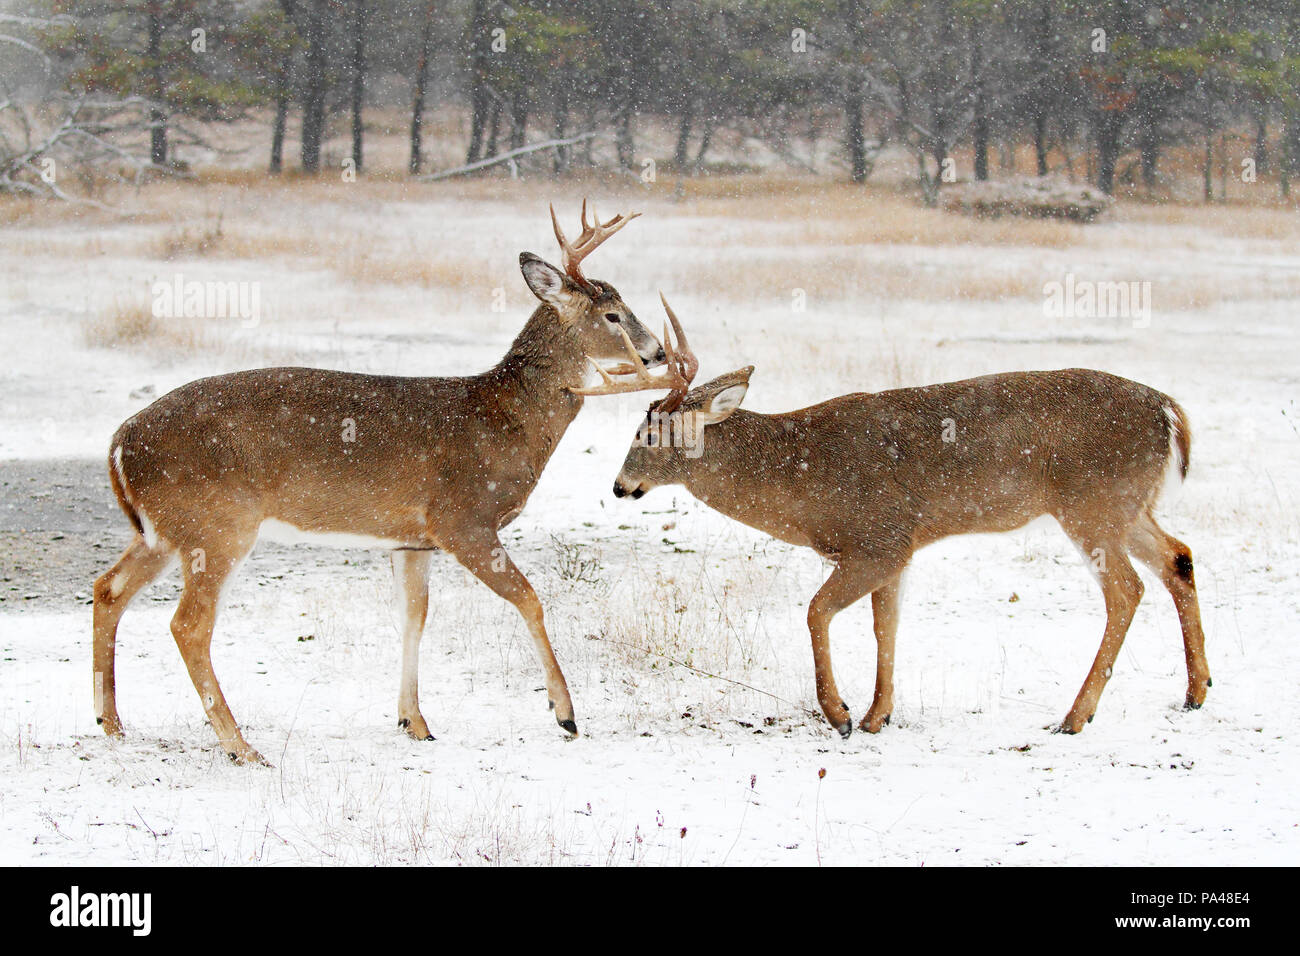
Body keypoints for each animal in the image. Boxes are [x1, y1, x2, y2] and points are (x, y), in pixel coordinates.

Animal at [92, 201, 698, 765]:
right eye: (614, 314)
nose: (657, 352)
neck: (504, 420)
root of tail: (120, 441)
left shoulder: (412, 539)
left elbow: (414, 617)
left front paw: (415, 722)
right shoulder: (462, 518)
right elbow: (528, 597)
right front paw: (565, 713)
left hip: (162, 530)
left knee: (108, 588)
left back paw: (112, 723)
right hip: (217, 525)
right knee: (188, 624)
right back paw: (241, 747)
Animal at [605, 306, 1210, 738]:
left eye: (650, 432)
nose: (619, 485)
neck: (801, 479)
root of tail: (1168, 409)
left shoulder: (878, 539)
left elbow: (816, 611)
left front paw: (841, 714)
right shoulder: (898, 548)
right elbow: (886, 625)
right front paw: (879, 715)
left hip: (1091, 502)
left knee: (1127, 589)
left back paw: (1075, 716)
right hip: (1127, 506)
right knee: (1178, 556)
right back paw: (1195, 692)